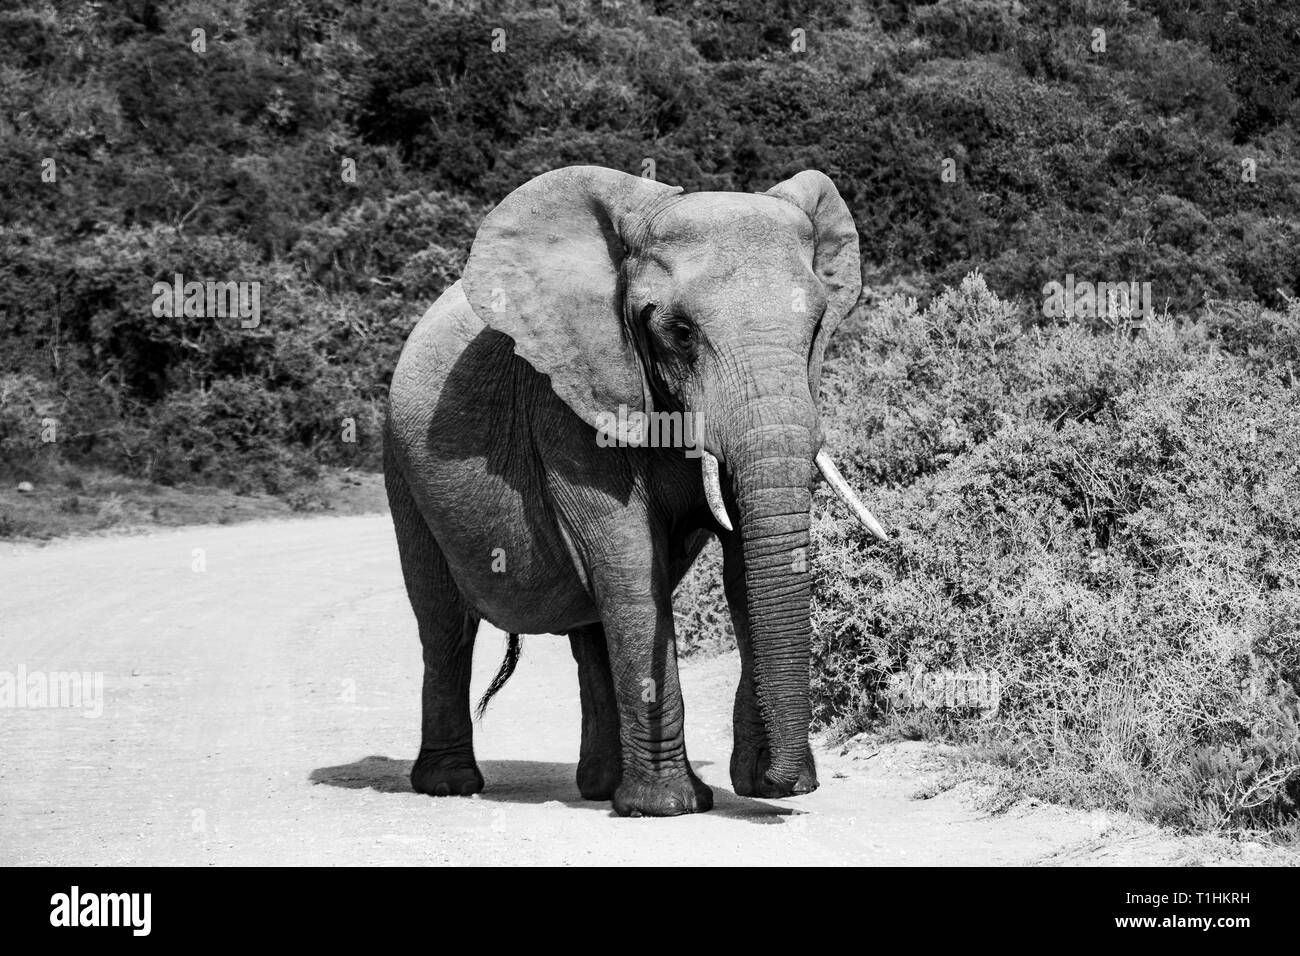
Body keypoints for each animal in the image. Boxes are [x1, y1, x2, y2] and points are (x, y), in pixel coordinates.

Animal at [383, 165, 885, 817]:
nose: (791, 784)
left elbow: (742, 570)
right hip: (401, 464)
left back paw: (600, 788)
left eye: (817, 326)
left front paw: (757, 786)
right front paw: (671, 806)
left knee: (592, 625)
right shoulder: (570, 402)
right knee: (444, 623)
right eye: (680, 332)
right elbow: (630, 563)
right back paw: (451, 785)